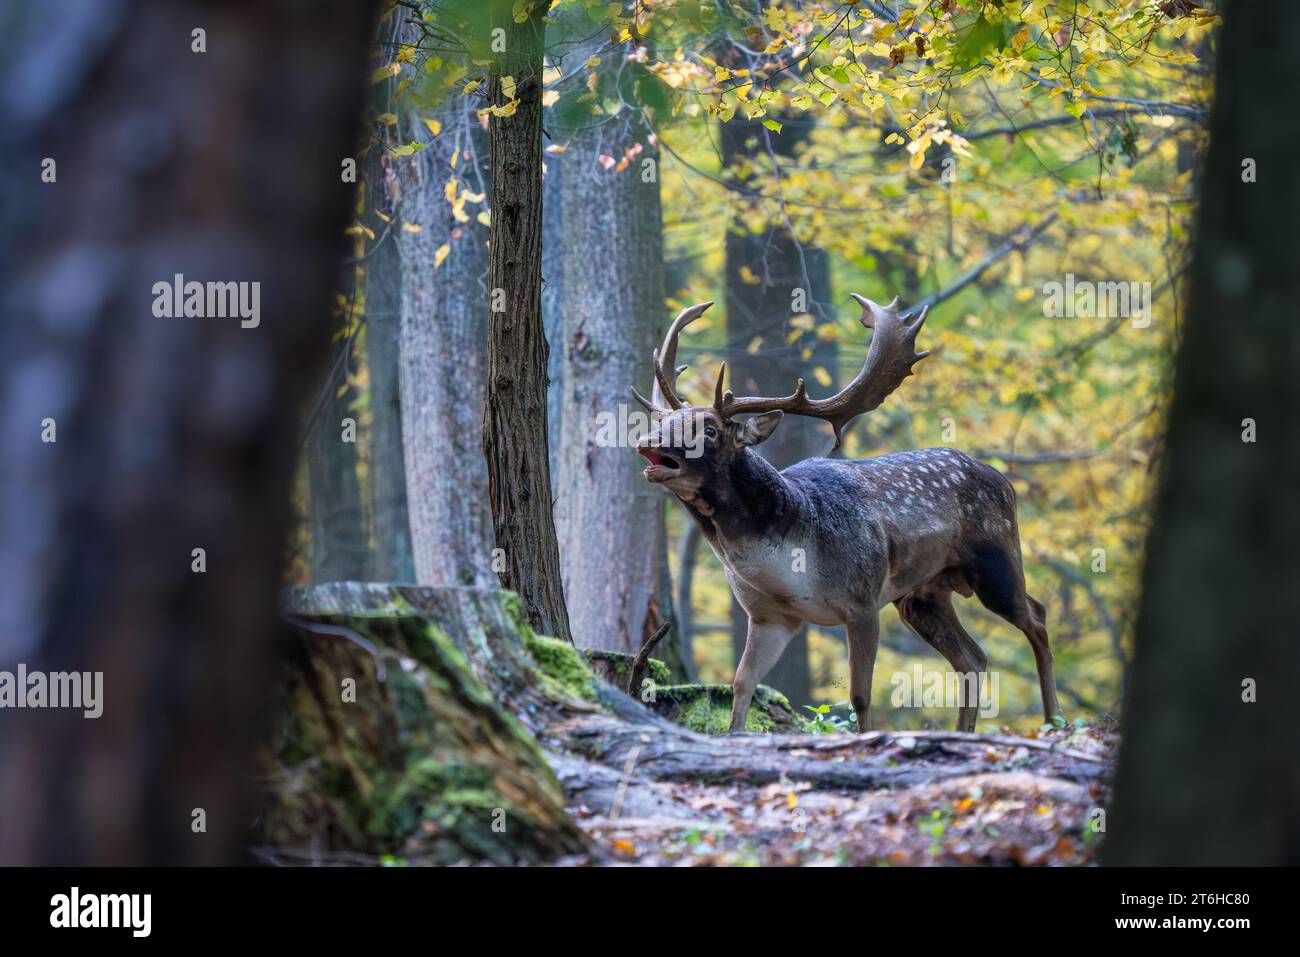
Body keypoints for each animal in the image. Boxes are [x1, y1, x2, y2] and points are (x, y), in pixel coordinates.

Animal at [631, 296, 1063, 735]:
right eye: (666, 420)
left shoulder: (863, 600)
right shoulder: (769, 615)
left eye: (710, 429)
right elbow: (741, 682)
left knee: (1037, 618)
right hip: (921, 595)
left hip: (997, 560)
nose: (647, 442)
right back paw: (966, 731)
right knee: (973, 657)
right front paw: (734, 734)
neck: (790, 561)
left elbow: (859, 695)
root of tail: (1005, 481)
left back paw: (1053, 721)